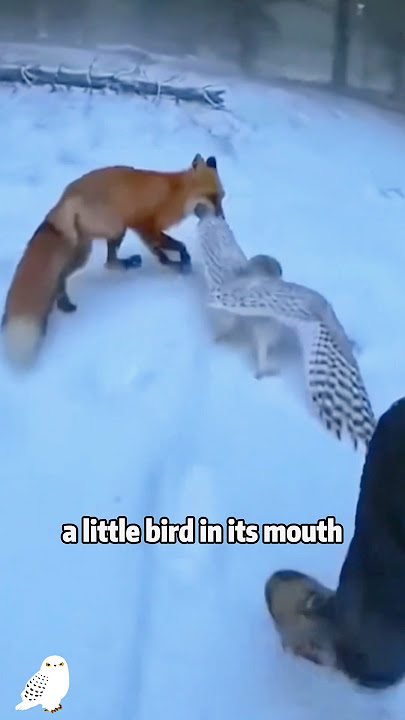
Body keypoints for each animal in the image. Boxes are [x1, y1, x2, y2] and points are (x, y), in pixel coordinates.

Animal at [1, 154, 225, 369]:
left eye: (222, 197)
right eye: (211, 197)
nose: (222, 218)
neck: (174, 194)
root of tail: (63, 200)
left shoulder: (146, 231)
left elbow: (161, 255)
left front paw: (174, 264)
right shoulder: (144, 226)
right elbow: (177, 248)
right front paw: (181, 264)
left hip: (84, 250)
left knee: (75, 271)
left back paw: (67, 301)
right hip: (117, 228)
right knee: (105, 263)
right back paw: (124, 266)